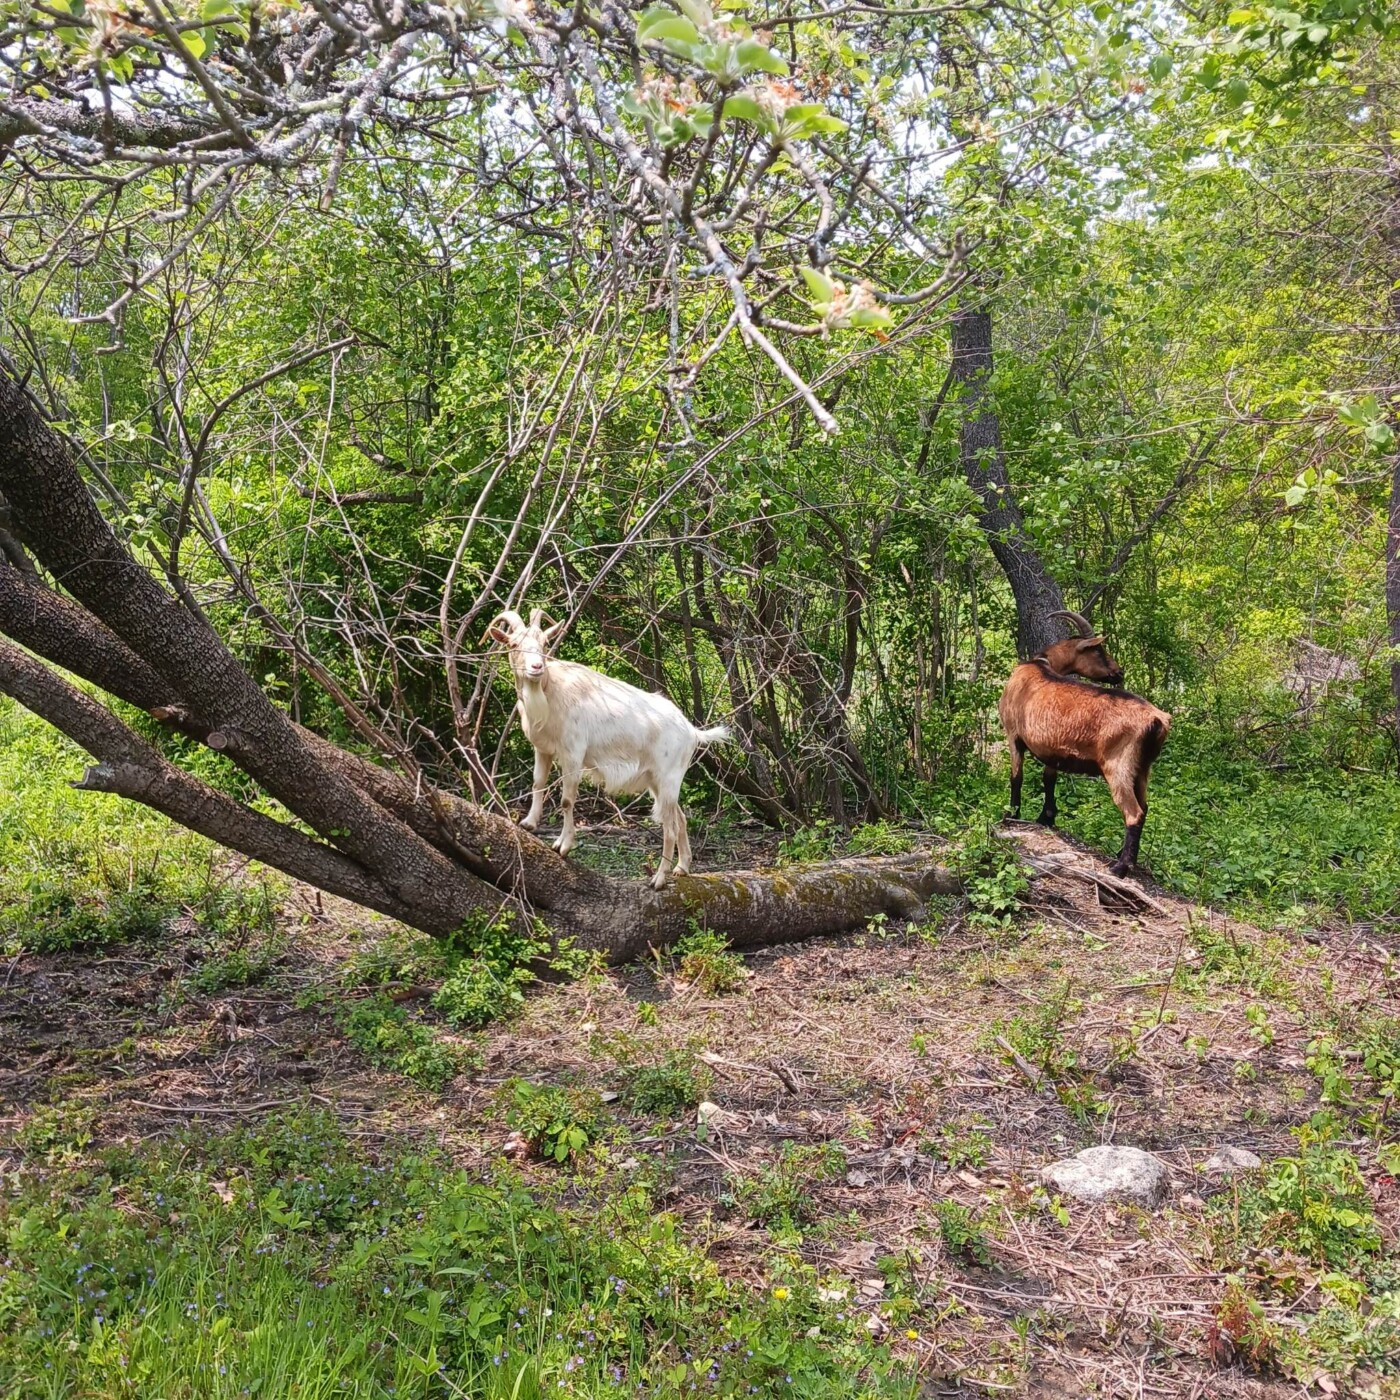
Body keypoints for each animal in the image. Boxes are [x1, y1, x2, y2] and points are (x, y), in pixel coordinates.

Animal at [485, 608, 730, 889]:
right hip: (657, 782)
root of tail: (692, 731)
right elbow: (538, 782)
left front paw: (563, 845)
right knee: (679, 818)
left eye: (545, 643)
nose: (536, 667)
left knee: (669, 826)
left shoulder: (573, 753)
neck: (550, 692)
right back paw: (682, 868)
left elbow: (567, 800)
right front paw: (529, 823)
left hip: (668, 778)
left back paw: (658, 879)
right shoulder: (544, 749)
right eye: (514, 644)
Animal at [999, 611, 1170, 876]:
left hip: (1118, 766)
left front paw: (1011, 815)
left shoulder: (1013, 735)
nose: (1119, 672)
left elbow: (1016, 777)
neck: (1040, 664)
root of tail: (1157, 719)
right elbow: (1049, 778)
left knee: (1133, 813)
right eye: (1098, 651)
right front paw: (1046, 817)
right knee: (1145, 807)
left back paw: (1120, 867)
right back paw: (1122, 854)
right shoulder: (1053, 749)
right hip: (1142, 768)